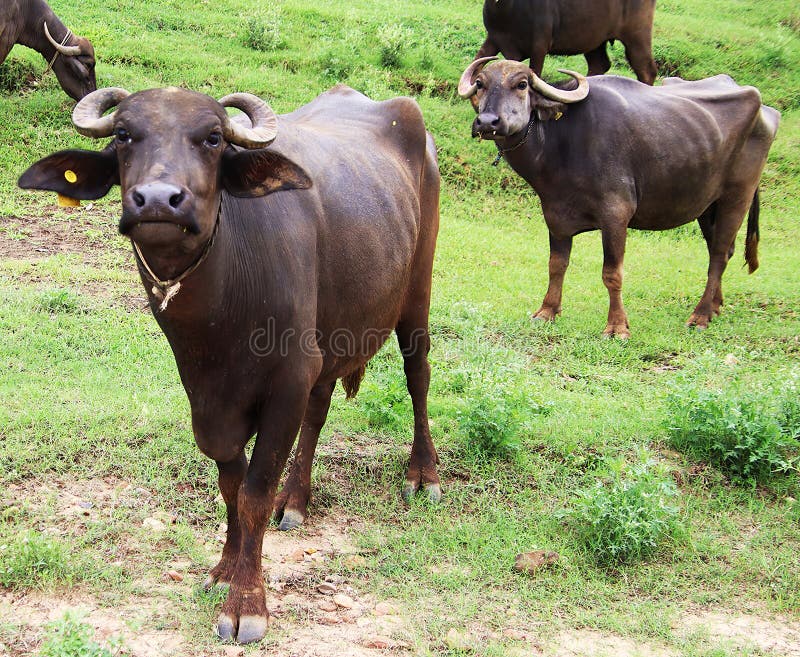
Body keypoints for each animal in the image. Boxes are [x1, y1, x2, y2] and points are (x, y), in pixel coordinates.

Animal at [19, 84, 441, 643]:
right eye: (125, 134)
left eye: (214, 138)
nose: (158, 200)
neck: (222, 315)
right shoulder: (208, 399)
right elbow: (230, 485)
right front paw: (224, 568)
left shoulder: (286, 380)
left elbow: (254, 492)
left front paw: (247, 601)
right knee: (320, 407)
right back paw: (297, 498)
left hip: (416, 294)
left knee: (418, 376)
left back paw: (424, 474)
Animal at [459, 57, 779, 337]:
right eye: (480, 83)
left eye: (522, 84)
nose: (487, 122)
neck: (562, 147)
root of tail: (765, 109)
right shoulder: (556, 216)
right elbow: (556, 264)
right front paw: (547, 311)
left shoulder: (616, 216)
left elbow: (611, 273)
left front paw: (616, 327)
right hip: (707, 206)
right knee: (722, 250)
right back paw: (714, 307)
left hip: (737, 196)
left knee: (719, 255)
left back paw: (700, 316)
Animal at [476, 0, 658, 85]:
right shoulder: (495, 38)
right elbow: (478, 61)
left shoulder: (539, 46)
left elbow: (535, 73)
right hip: (593, 39)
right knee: (599, 64)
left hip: (637, 36)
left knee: (646, 70)